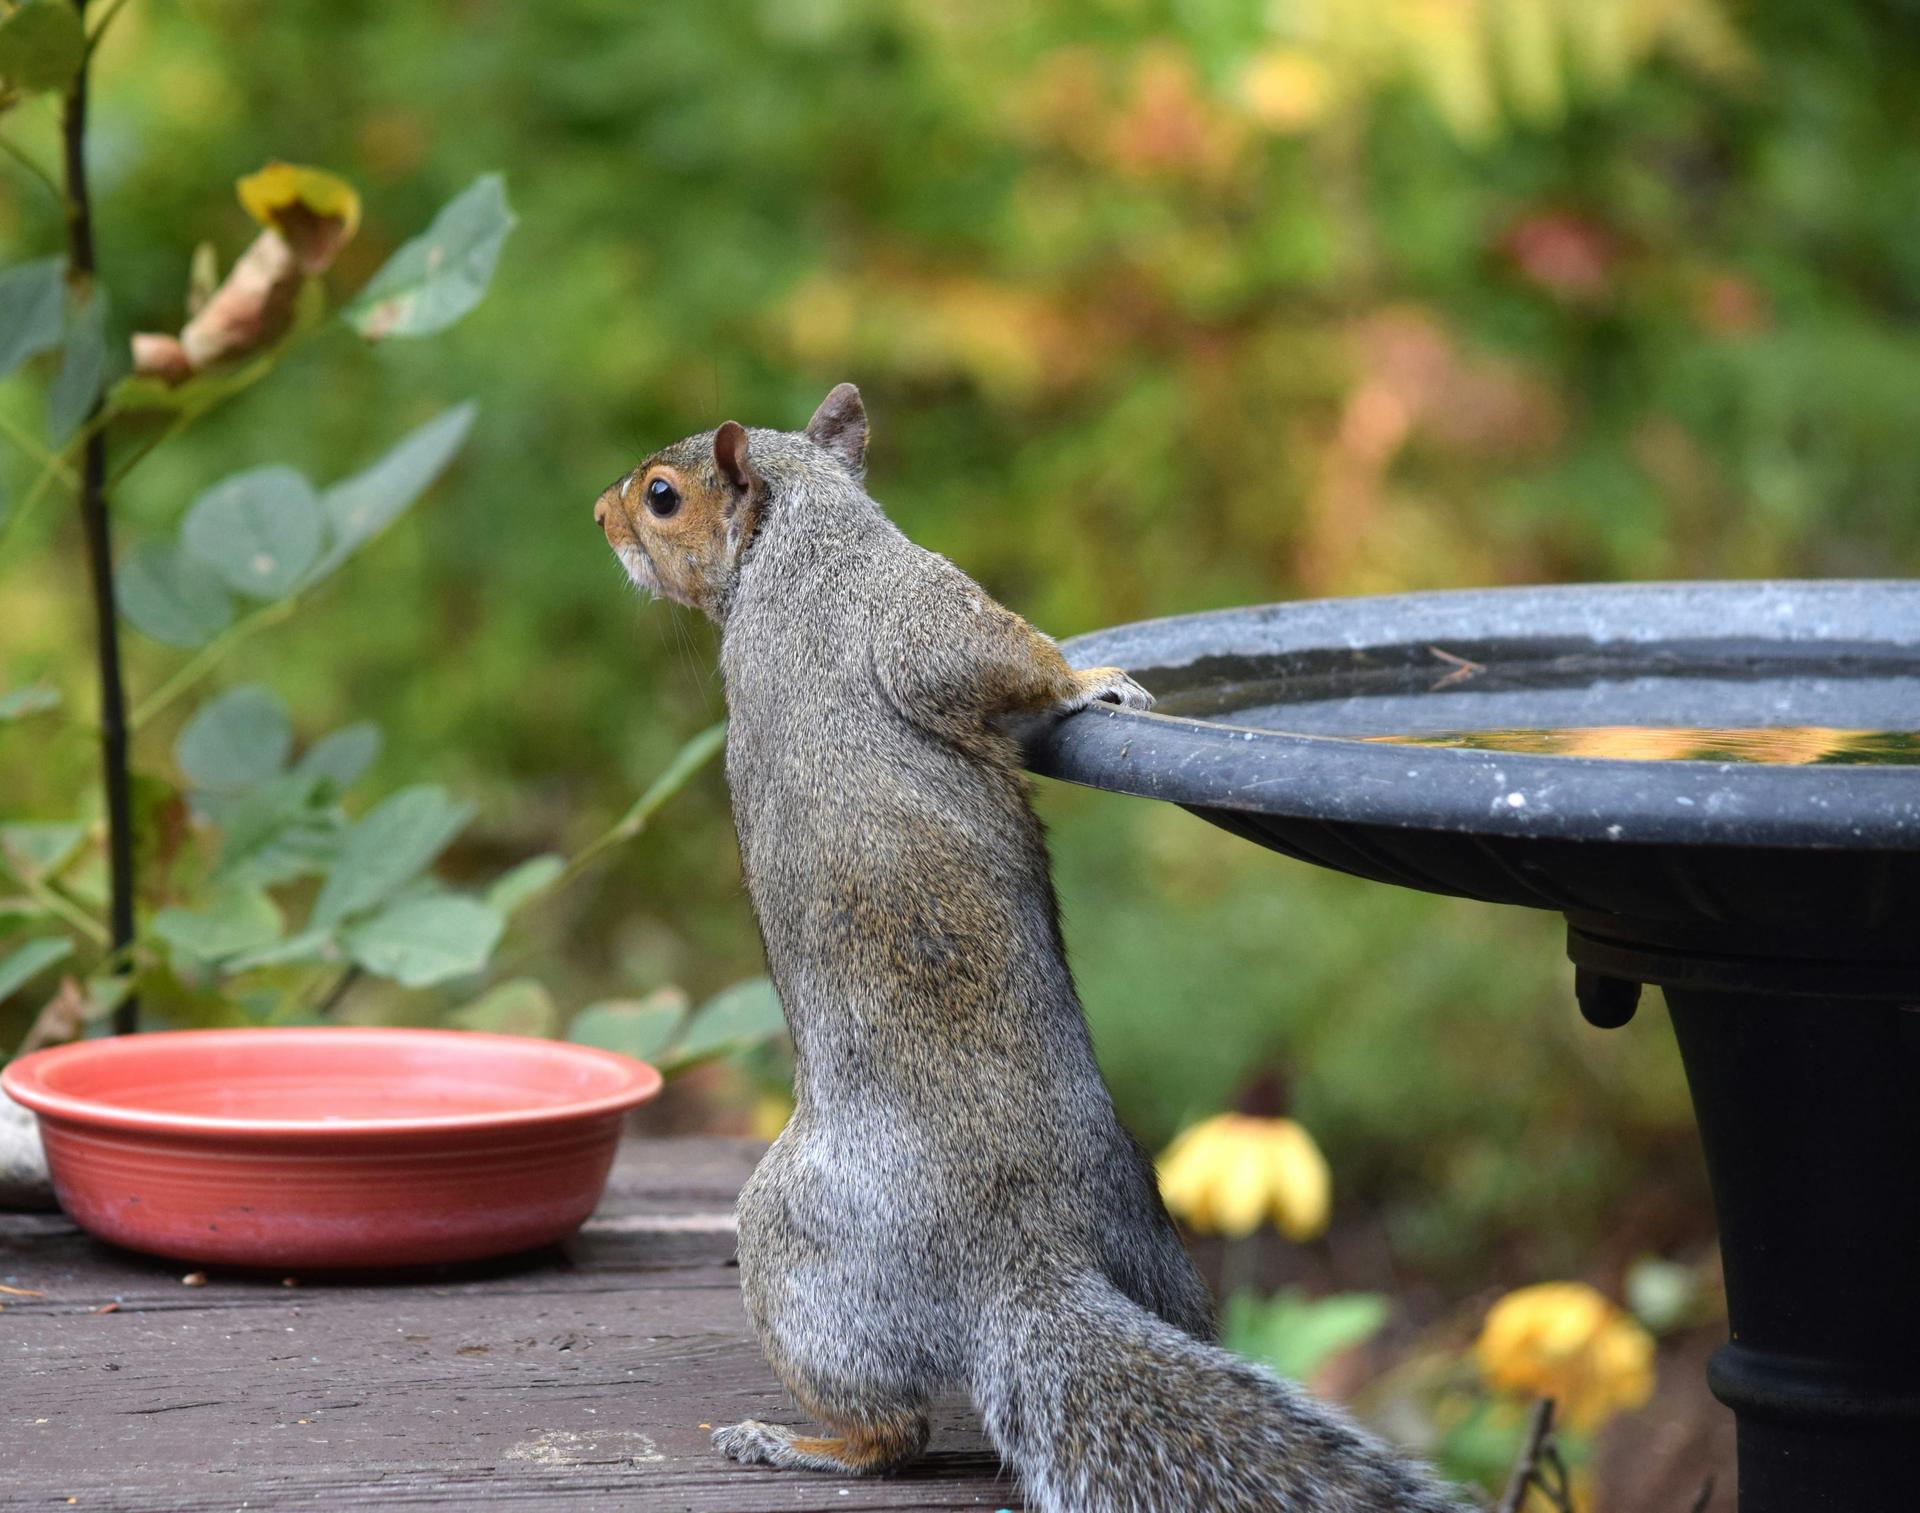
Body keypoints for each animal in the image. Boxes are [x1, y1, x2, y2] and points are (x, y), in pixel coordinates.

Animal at [593, 384, 1466, 1513]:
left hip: (1145, 1243)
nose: (601, 517)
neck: (801, 526)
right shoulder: (908, 608)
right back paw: (795, 1441)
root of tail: (1022, 1262)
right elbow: (990, 662)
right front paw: (1090, 678)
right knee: (892, 1435)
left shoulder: (887, 594)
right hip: (799, 1260)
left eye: (661, 496)